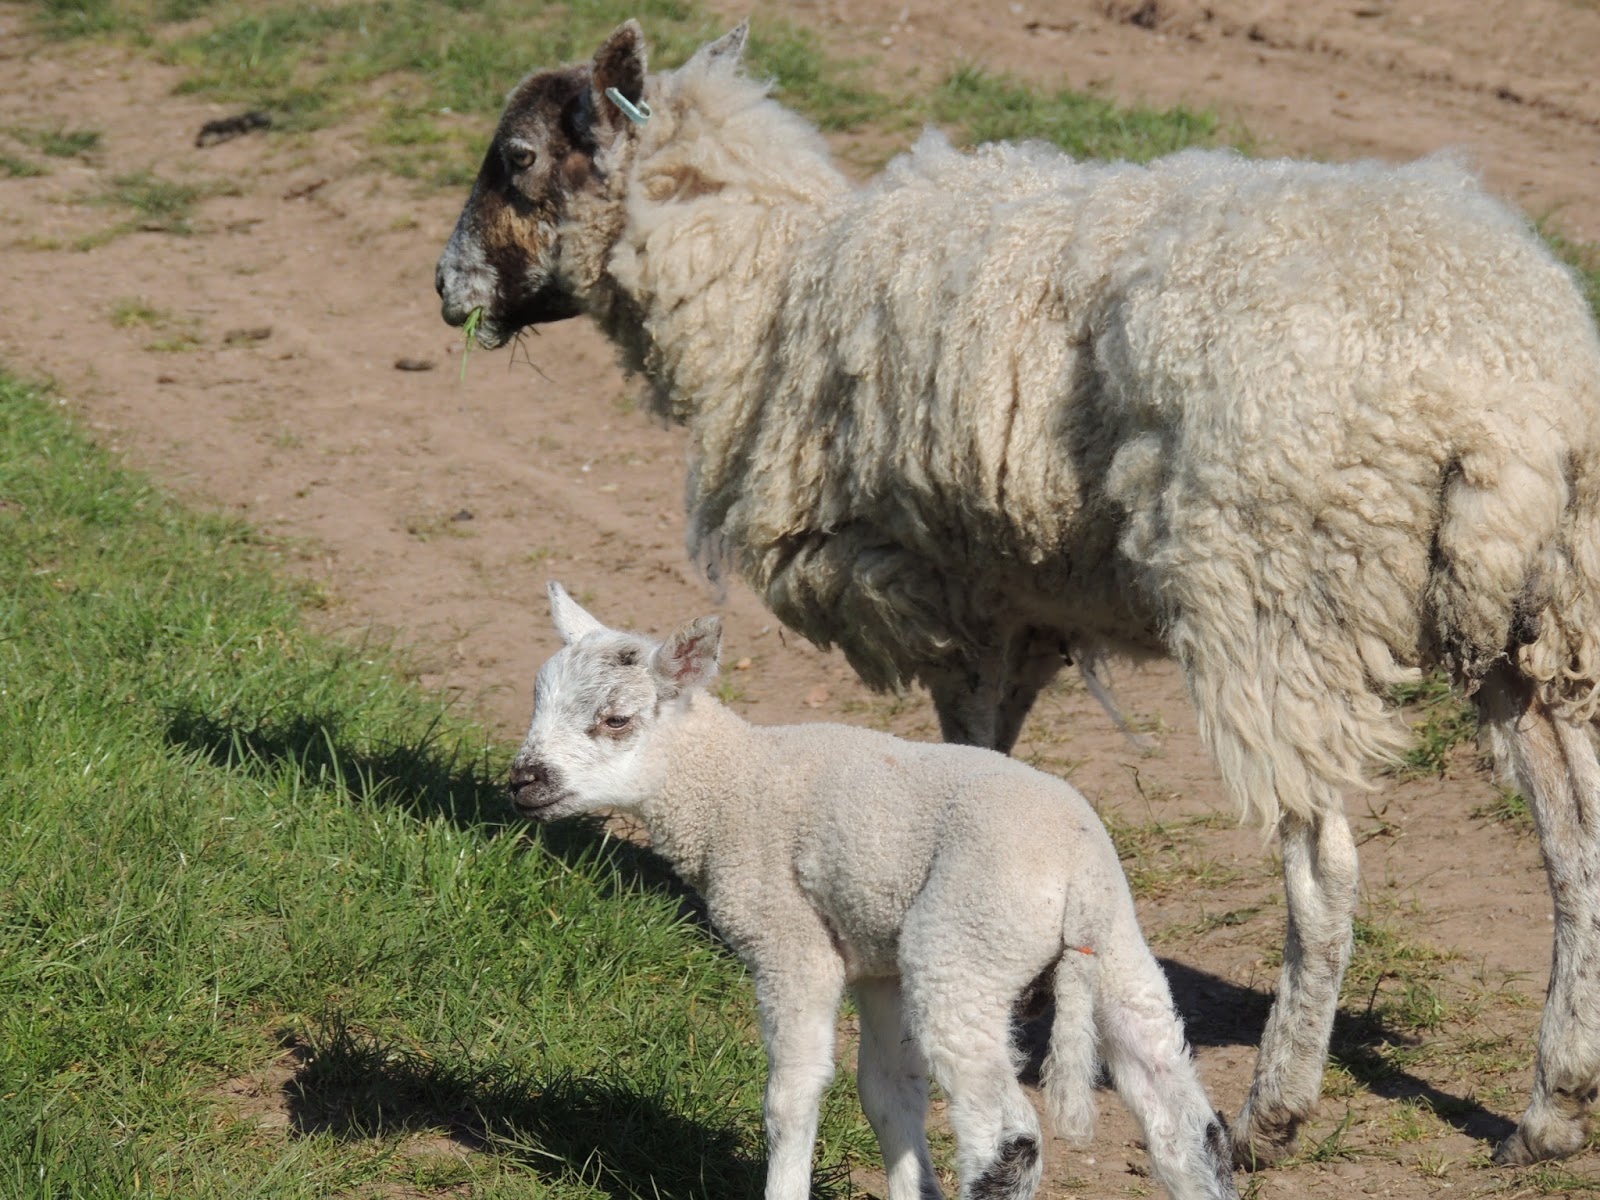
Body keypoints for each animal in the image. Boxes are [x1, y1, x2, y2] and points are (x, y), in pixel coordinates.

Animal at [512, 581, 1240, 1200]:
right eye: (538, 703)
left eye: (616, 720)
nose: (524, 780)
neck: (731, 786)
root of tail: (1076, 869)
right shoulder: (876, 961)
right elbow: (889, 1093)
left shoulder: (791, 945)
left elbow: (792, 1096)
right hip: (1118, 953)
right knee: (1187, 1127)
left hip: (964, 948)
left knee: (1009, 1141)